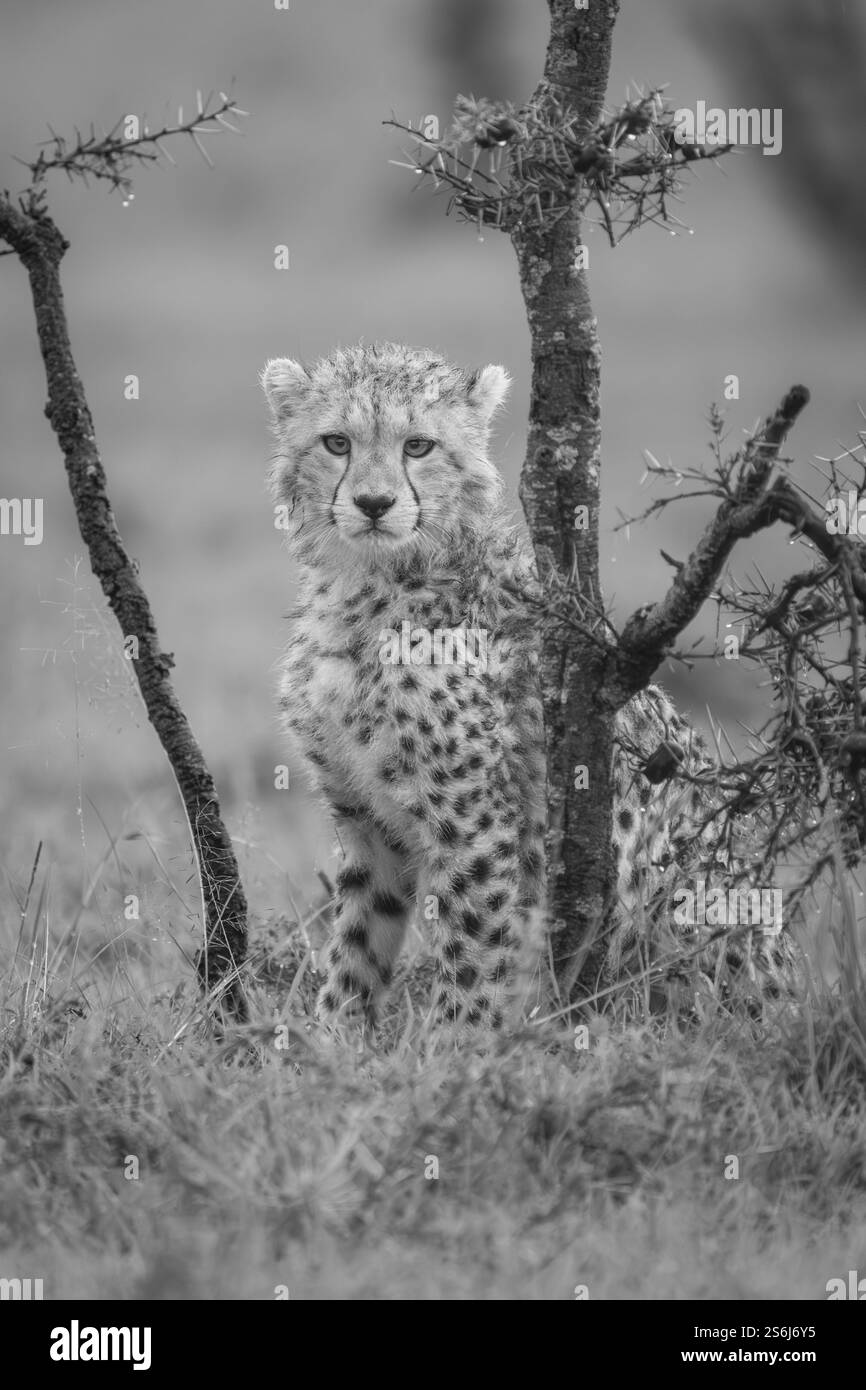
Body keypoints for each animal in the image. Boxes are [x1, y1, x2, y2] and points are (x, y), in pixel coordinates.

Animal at [262, 341, 793, 1030]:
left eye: (418, 446)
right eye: (336, 443)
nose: (374, 503)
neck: (367, 583)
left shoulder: (476, 824)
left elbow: (472, 961)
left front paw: (460, 1048)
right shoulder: (365, 819)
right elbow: (356, 945)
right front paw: (332, 1040)